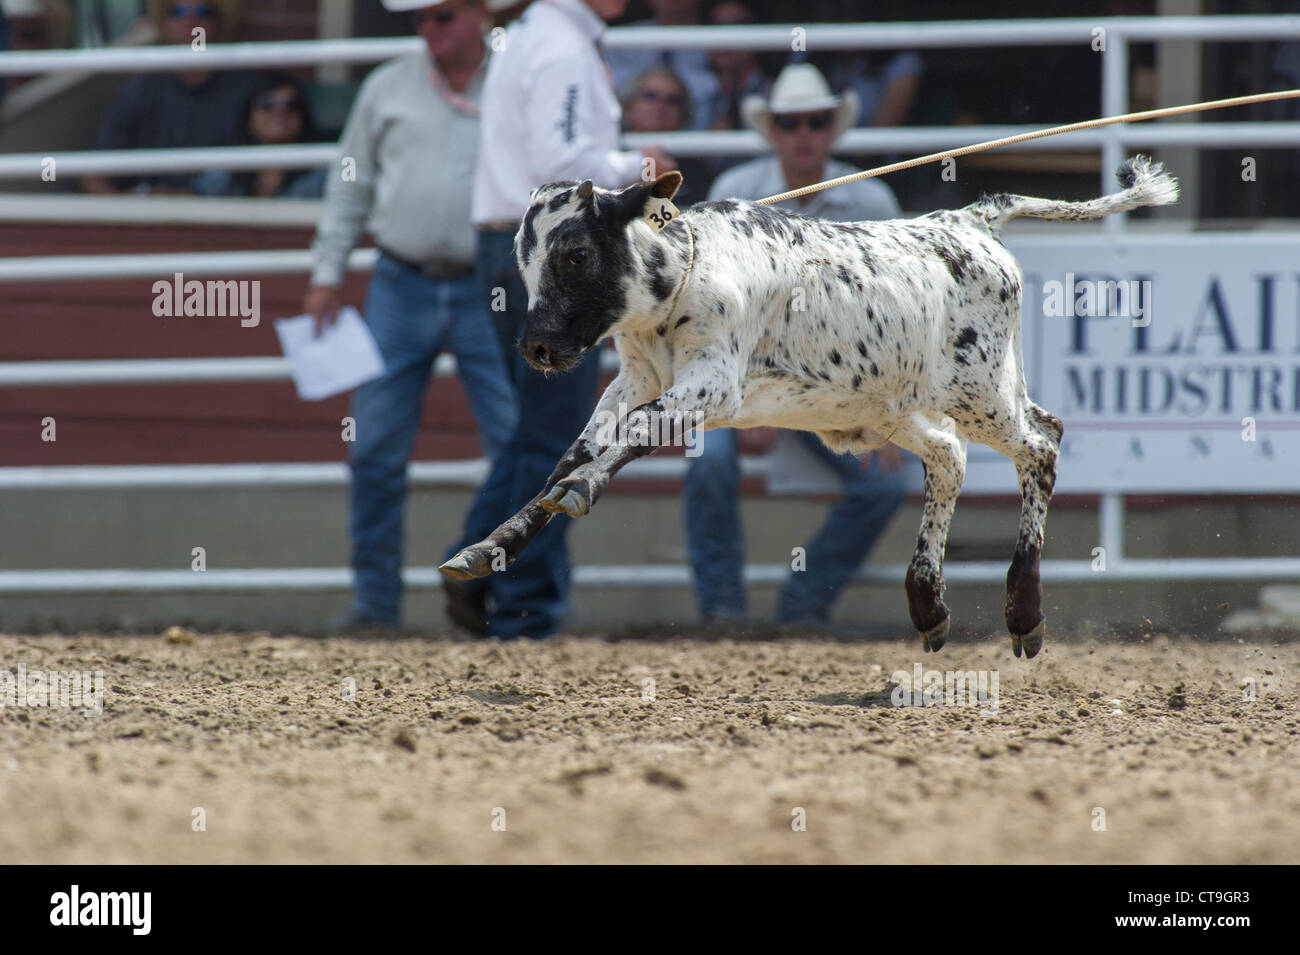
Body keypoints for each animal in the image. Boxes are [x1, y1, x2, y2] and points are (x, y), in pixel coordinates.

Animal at [439, 156, 1179, 658]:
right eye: (523, 258)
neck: (682, 277)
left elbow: (627, 441)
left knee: (1041, 444)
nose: (536, 346)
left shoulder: (712, 384)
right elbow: (575, 452)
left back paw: (1023, 610)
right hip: (893, 409)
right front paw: (490, 546)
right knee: (950, 458)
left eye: (576, 253)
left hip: (982, 391)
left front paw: (578, 493)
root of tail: (965, 222)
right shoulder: (636, 378)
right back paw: (927, 602)